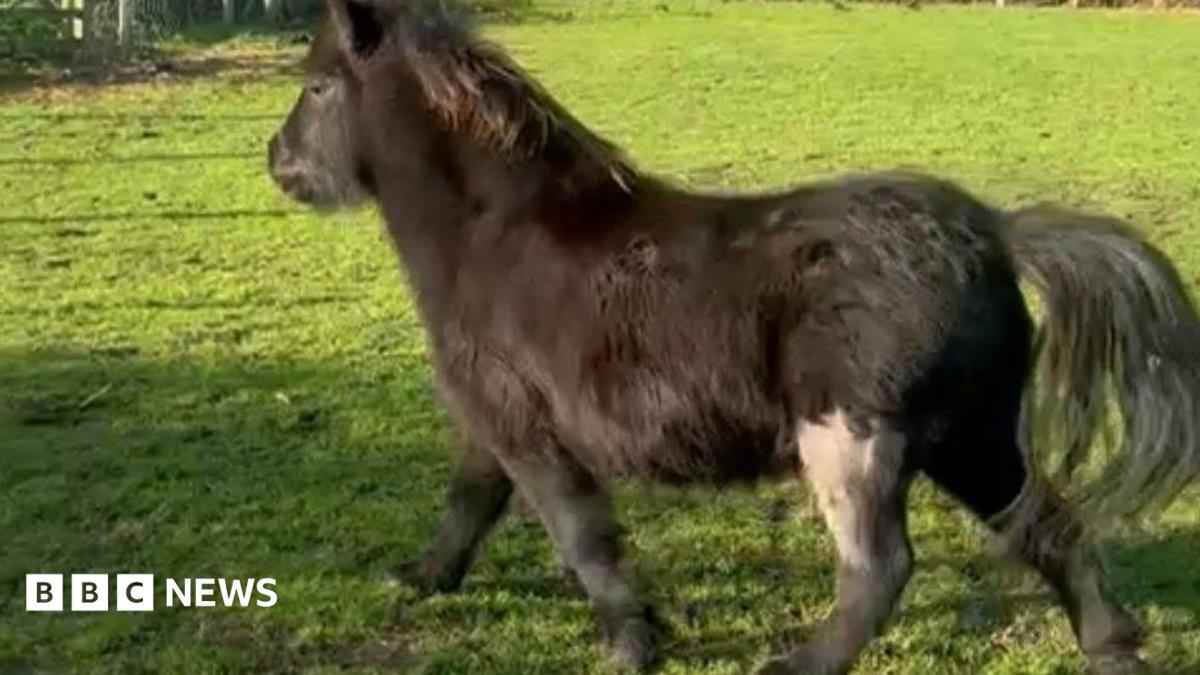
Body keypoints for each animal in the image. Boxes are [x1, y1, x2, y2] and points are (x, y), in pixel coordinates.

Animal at [266, 1, 1200, 672]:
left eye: (316, 87)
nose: (276, 161)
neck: (494, 234)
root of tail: (997, 233)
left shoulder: (526, 431)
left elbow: (579, 534)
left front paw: (633, 643)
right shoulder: (494, 421)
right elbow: (469, 503)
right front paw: (423, 579)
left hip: (853, 436)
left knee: (880, 569)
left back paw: (794, 665)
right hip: (971, 440)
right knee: (1050, 526)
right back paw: (1111, 651)